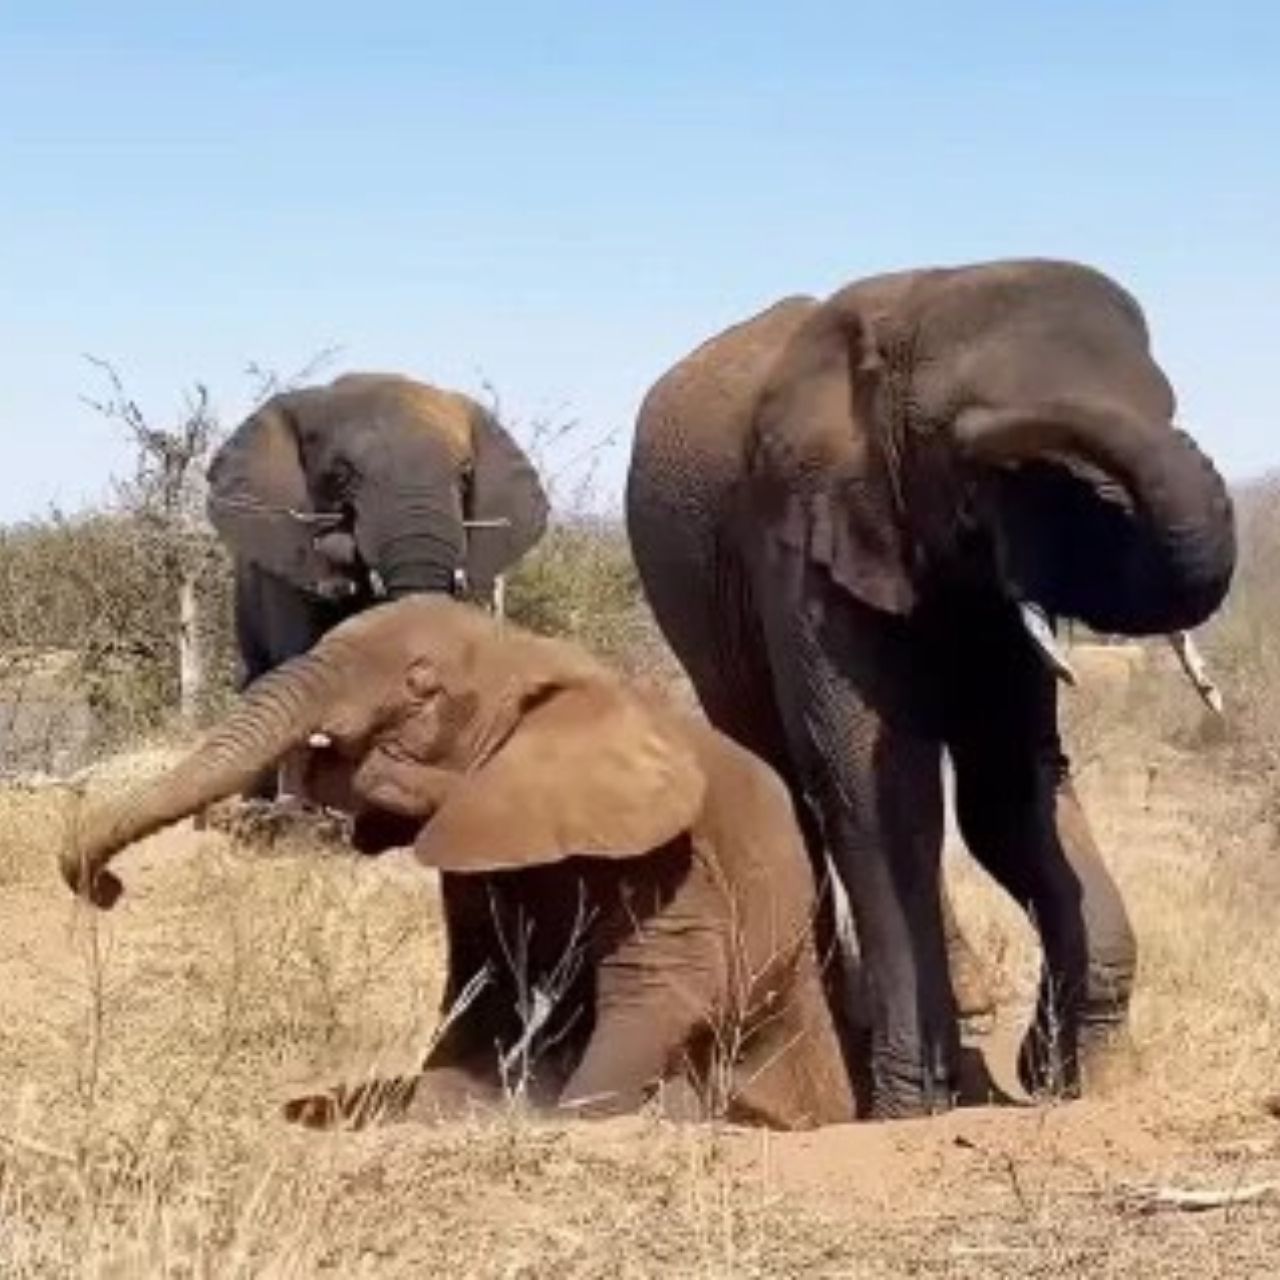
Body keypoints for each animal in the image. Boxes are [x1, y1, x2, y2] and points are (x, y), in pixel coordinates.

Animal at [60, 597, 858, 1130]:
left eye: (422, 685)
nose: (105, 886)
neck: (533, 656)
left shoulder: (665, 847)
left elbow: (666, 983)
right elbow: (487, 983)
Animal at [625, 258, 1235, 1119]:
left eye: (1169, 404)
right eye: (981, 463)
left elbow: (1008, 791)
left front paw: (1074, 1076)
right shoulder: (803, 538)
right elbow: (880, 798)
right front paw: (911, 1108)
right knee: (783, 788)